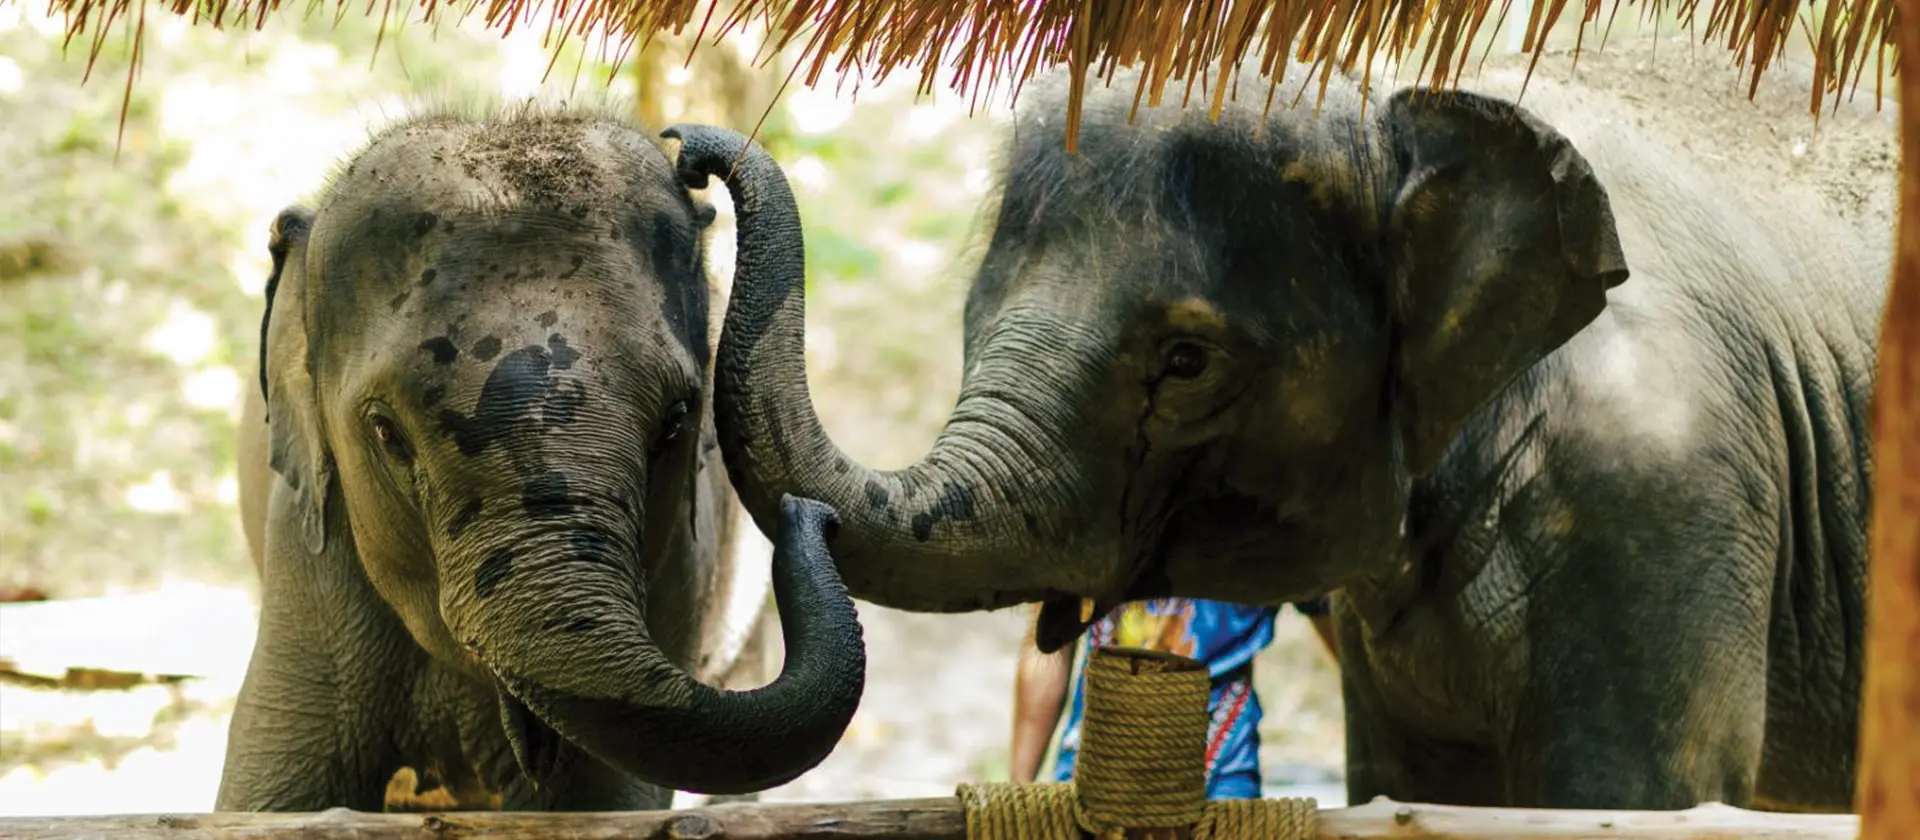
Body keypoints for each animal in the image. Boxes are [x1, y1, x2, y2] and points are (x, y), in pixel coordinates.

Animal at [662, 60, 1887, 812]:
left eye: (1187, 361)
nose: (685, 149)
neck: (1399, 101)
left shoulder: (1658, 489)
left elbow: (1629, 796)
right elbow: (1419, 795)